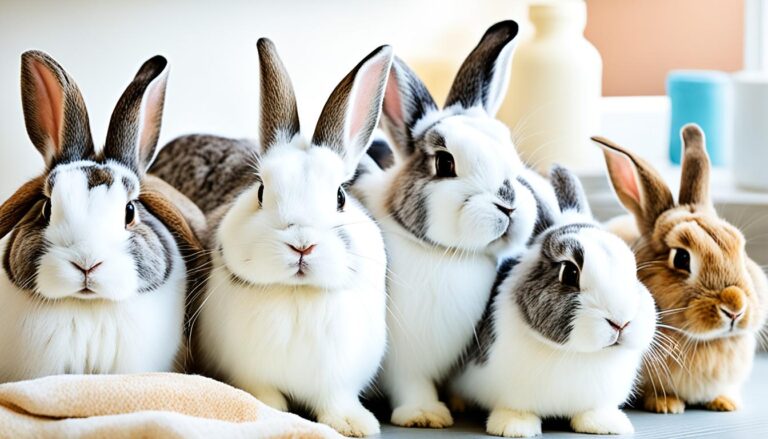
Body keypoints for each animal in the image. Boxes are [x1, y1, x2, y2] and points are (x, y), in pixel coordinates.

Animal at [150, 39, 392, 437]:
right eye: (261, 191)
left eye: (341, 196)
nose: (301, 245)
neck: (296, 293)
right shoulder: (250, 374)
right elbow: (266, 396)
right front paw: (273, 415)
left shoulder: (337, 382)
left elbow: (336, 402)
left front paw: (355, 424)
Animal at [350, 20, 554, 428]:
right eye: (445, 163)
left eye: (511, 154)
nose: (509, 203)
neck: (446, 254)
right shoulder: (406, 363)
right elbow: (412, 386)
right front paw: (425, 415)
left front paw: (455, 403)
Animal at [452, 166, 657, 437]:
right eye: (569, 273)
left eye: (633, 270)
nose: (621, 322)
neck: (575, 353)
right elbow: (513, 408)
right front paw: (514, 427)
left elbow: (593, 411)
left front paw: (606, 424)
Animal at [594, 124, 768, 413]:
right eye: (682, 258)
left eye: (740, 247)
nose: (735, 307)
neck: (705, 341)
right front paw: (666, 404)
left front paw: (726, 402)